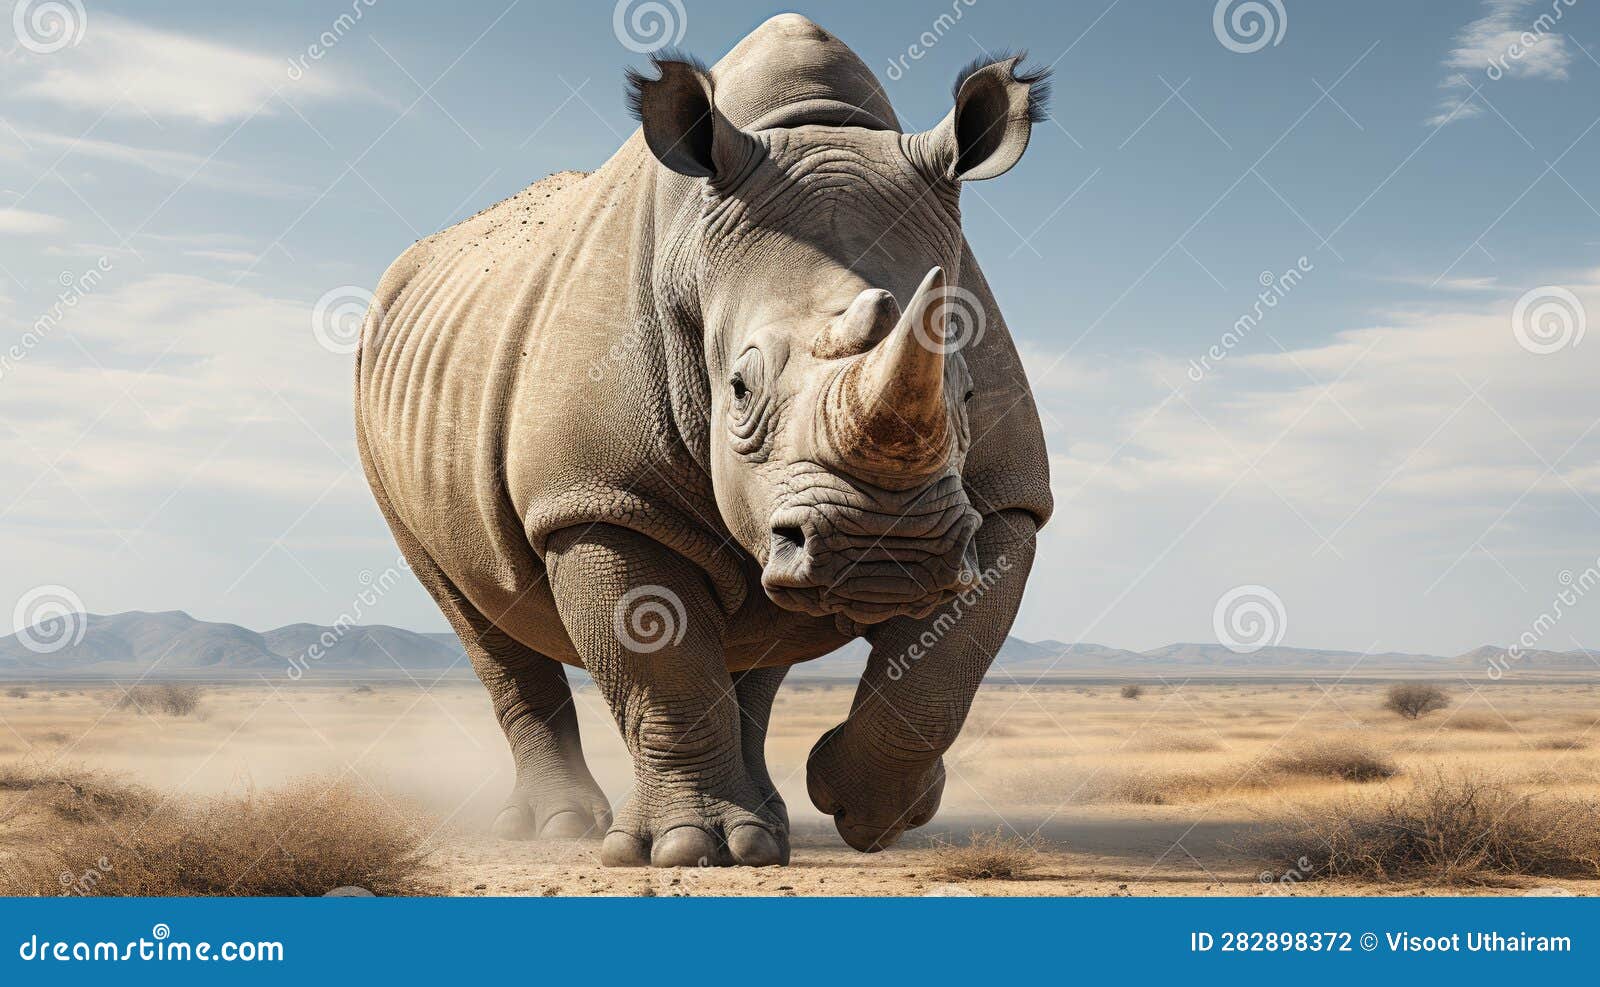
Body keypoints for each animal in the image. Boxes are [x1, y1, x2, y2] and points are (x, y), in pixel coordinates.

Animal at [355, 14, 1052, 867]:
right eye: (740, 390)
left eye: (967, 393)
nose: (885, 550)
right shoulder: (598, 495)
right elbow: (664, 668)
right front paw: (690, 848)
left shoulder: (1002, 500)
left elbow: (944, 667)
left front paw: (869, 809)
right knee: (475, 610)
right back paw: (562, 827)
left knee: (757, 643)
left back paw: (773, 822)